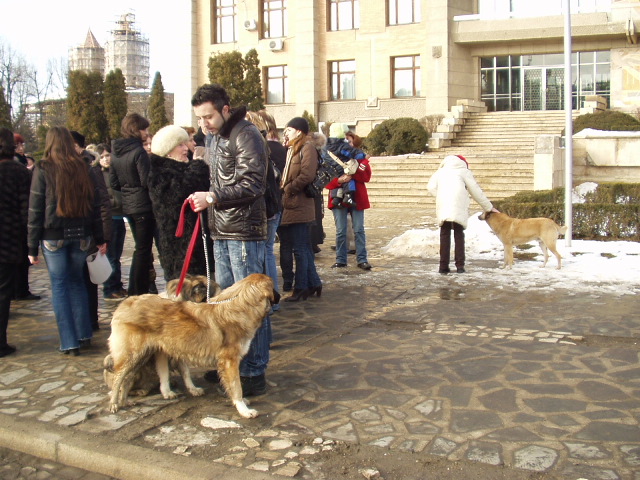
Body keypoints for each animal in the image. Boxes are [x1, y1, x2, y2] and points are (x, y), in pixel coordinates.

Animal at [107, 276, 278, 418]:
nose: (279, 296)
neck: (240, 305)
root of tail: (127, 302)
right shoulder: (229, 361)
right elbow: (236, 387)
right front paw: (244, 410)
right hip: (133, 355)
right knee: (117, 377)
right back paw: (114, 404)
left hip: (143, 356)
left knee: (127, 378)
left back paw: (125, 401)